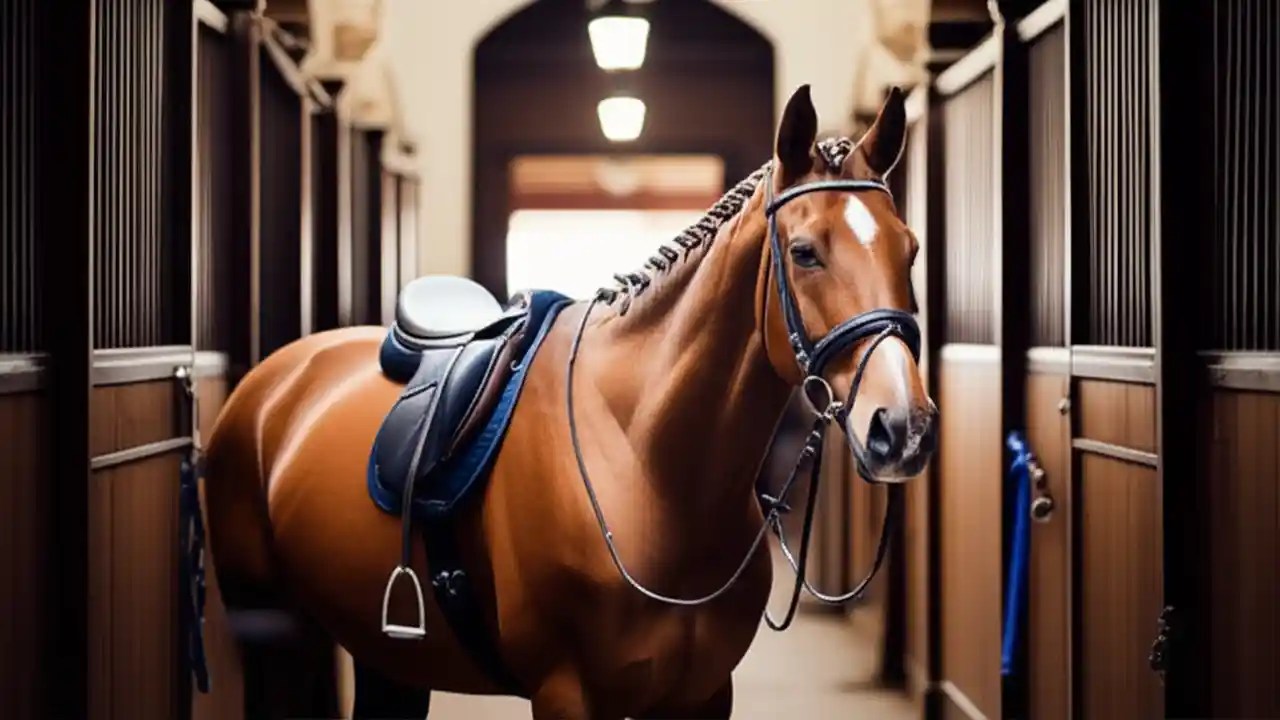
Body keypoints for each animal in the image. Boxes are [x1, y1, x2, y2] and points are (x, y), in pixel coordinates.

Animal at [203, 84, 938, 719]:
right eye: (805, 251)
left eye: (910, 249)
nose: (902, 426)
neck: (648, 465)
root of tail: (273, 381)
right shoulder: (568, 694)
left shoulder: (703, 696)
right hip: (275, 637)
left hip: (386, 659)